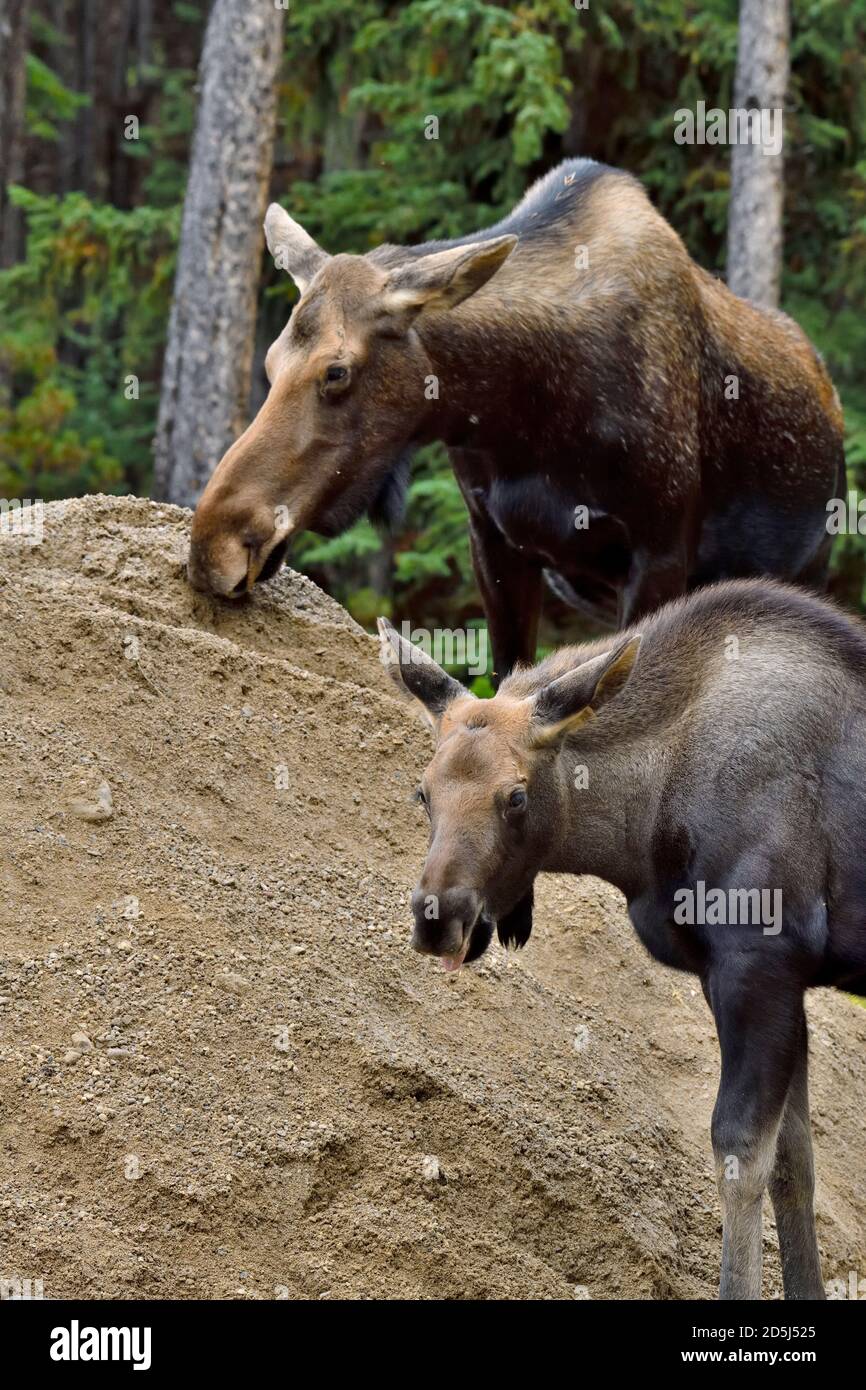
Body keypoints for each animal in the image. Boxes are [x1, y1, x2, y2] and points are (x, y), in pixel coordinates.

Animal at [188, 158, 845, 682]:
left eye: (336, 371)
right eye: (270, 361)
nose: (211, 544)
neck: (524, 413)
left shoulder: (658, 553)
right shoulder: (494, 540)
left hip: (810, 568)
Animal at [377, 578, 866, 1299]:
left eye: (516, 796)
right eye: (422, 792)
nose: (438, 919)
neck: (641, 827)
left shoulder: (758, 965)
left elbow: (740, 1154)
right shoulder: (778, 982)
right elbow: (794, 1164)